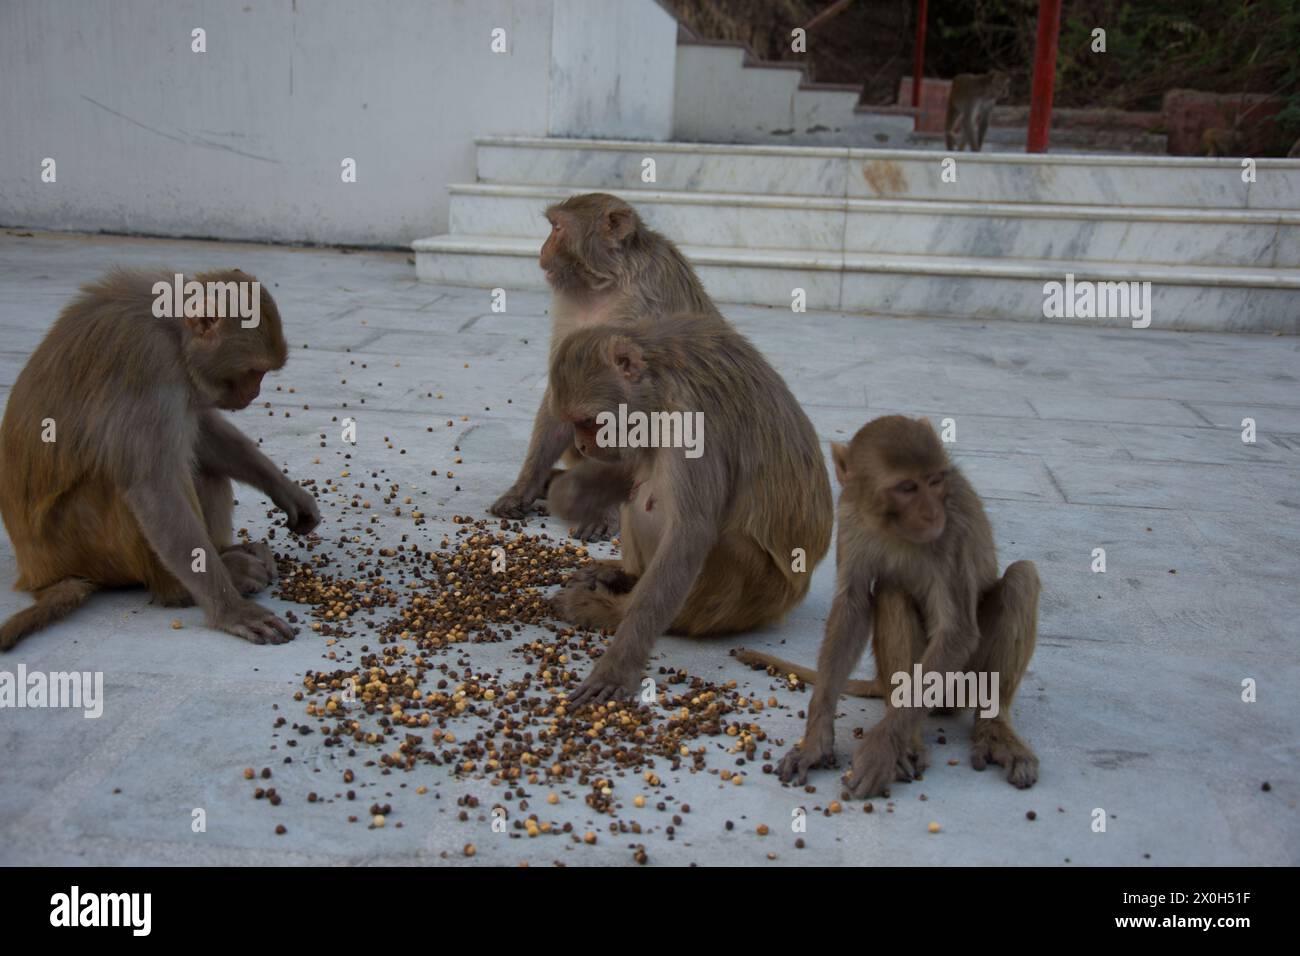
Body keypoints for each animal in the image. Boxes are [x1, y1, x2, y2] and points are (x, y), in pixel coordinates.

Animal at [0, 267, 320, 651]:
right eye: (254, 372)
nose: (255, 393)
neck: (174, 333)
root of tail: (40, 573)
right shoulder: (149, 362)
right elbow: (153, 488)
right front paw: (231, 611)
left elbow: (201, 431)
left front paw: (290, 493)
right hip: (86, 545)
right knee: (131, 479)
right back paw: (187, 586)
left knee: (200, 463)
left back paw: (230, 552)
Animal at [487, 193, 719, 540]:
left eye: (557, 228)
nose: (541, 249)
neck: (605, 286)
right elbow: (564, 388)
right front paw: (523, 488)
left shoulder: (646, 305)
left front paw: (605, 512)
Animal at [547, 312, 833, 705]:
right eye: (574, 423)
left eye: (588, 422)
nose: (580, 446)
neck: (660, 384)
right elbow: (631, 471)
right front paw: (571, 495)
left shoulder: (690, 421)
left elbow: (690, 533)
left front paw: (617, 666)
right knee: (640, 489)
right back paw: (622, 576)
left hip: (761, 593)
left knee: (708, 537)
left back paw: (609, 609)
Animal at [773, 415, 1039, 797]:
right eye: (907, 487)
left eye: (935, 481)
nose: (931, 513)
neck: (892, 528)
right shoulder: (851, 516)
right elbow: (852, 606)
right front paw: (815, 740)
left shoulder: (952, 531)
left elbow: (956, 632)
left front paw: (880, 748)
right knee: (891, 591)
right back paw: (910, 740)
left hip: (963, 681)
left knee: (1021, 579)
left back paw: (992, 727)